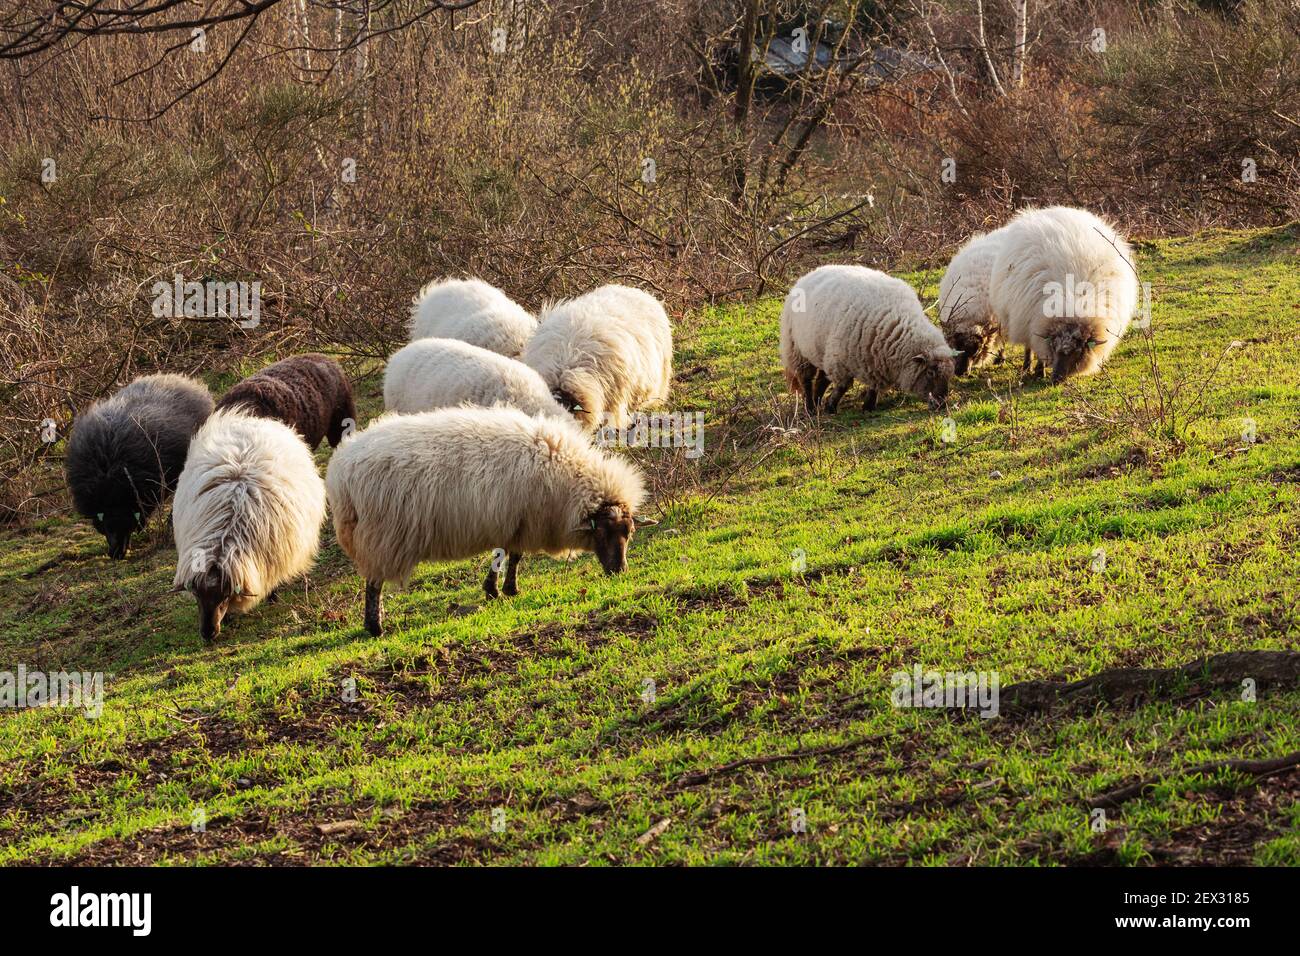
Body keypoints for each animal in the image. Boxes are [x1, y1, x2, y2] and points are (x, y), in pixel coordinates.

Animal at [171, 409, 326, 643]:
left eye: (224, 596)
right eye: (197, 595)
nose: (208, 633)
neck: (225, 536)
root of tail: (254, 420)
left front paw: (272, 598)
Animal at [325, 406, 649, 636]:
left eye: (629, 533)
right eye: (602, 533)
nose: (619, 571)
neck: (564, 474)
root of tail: (341, 475)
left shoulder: (510, 520)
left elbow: (503, 555)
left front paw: (495, 589)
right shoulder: (522, 519)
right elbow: (512, 556)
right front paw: (507, 590)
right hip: (379, 535)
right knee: (373, 584)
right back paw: (375, 627)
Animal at [780, 264, 957, 413]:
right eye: (930, 372)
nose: (941, 405)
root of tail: (810, 273)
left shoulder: (875, 360)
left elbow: (874, 385)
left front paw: (868, 406)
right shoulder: (841, 360)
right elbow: (843, 386)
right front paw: (831, 406)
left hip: (822, 350)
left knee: (821, 379)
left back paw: (817, 402)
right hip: (797, 350)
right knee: (806, 380)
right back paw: (810, 407)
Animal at [988, 206, 1139, 383]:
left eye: (1077, 350)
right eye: (1054, 347)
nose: (1056, 379)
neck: (1075, 302)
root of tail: (1053, 209)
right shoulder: (1037, 324)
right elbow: (1039, 350)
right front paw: (1039, 371)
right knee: (1028, 346)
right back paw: (1027, 367)